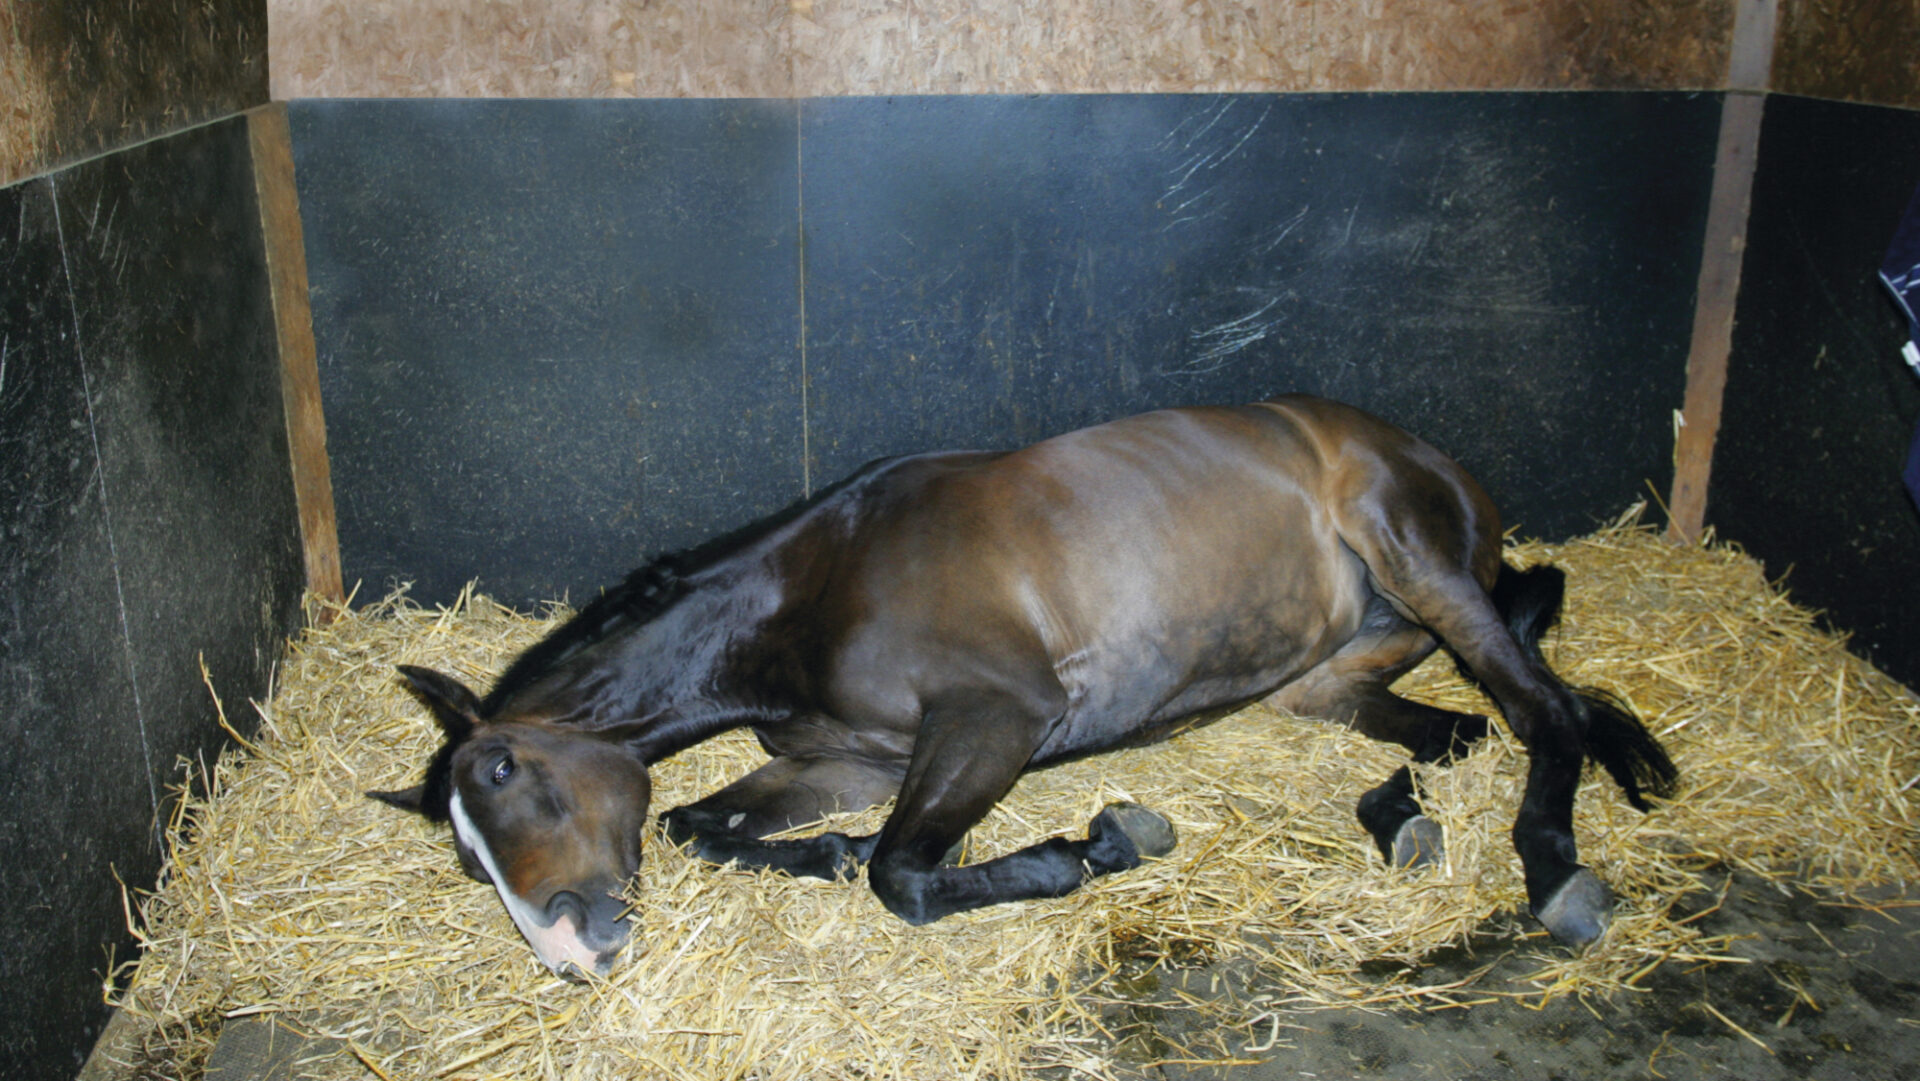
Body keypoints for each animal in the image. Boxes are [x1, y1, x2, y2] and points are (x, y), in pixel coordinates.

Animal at [371, 395, 1677, 979]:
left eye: (507, 769)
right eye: (462, 856)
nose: (567, 949)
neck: (810, 591)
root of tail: (1428, 457)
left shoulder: (996, 718)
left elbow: (906, 874)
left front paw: (1093, 845)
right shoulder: (849, 760)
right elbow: (709, 823)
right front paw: (828, 853)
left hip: (1416, 554)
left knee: (1539, 706)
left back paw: (1559, 869)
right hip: (1329, 672)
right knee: (1495, 703)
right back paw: (1589, 767)